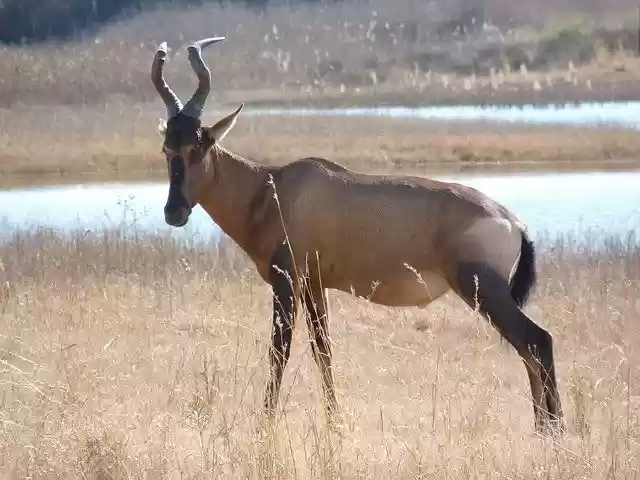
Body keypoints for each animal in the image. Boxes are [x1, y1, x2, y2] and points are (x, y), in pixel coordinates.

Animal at [151, 37, 565, 435]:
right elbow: (323, 350)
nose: (174, 212)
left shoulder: (286, 282)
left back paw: (556, 431)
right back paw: (542, 431)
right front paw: (334, 421)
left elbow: (279, 351)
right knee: (528, 348)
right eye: (167, 148)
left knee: (537, 340)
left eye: (199, 146)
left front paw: (264, 424)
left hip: (481, 287)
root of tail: (514, 222)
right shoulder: (314, 285)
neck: (274, 189)